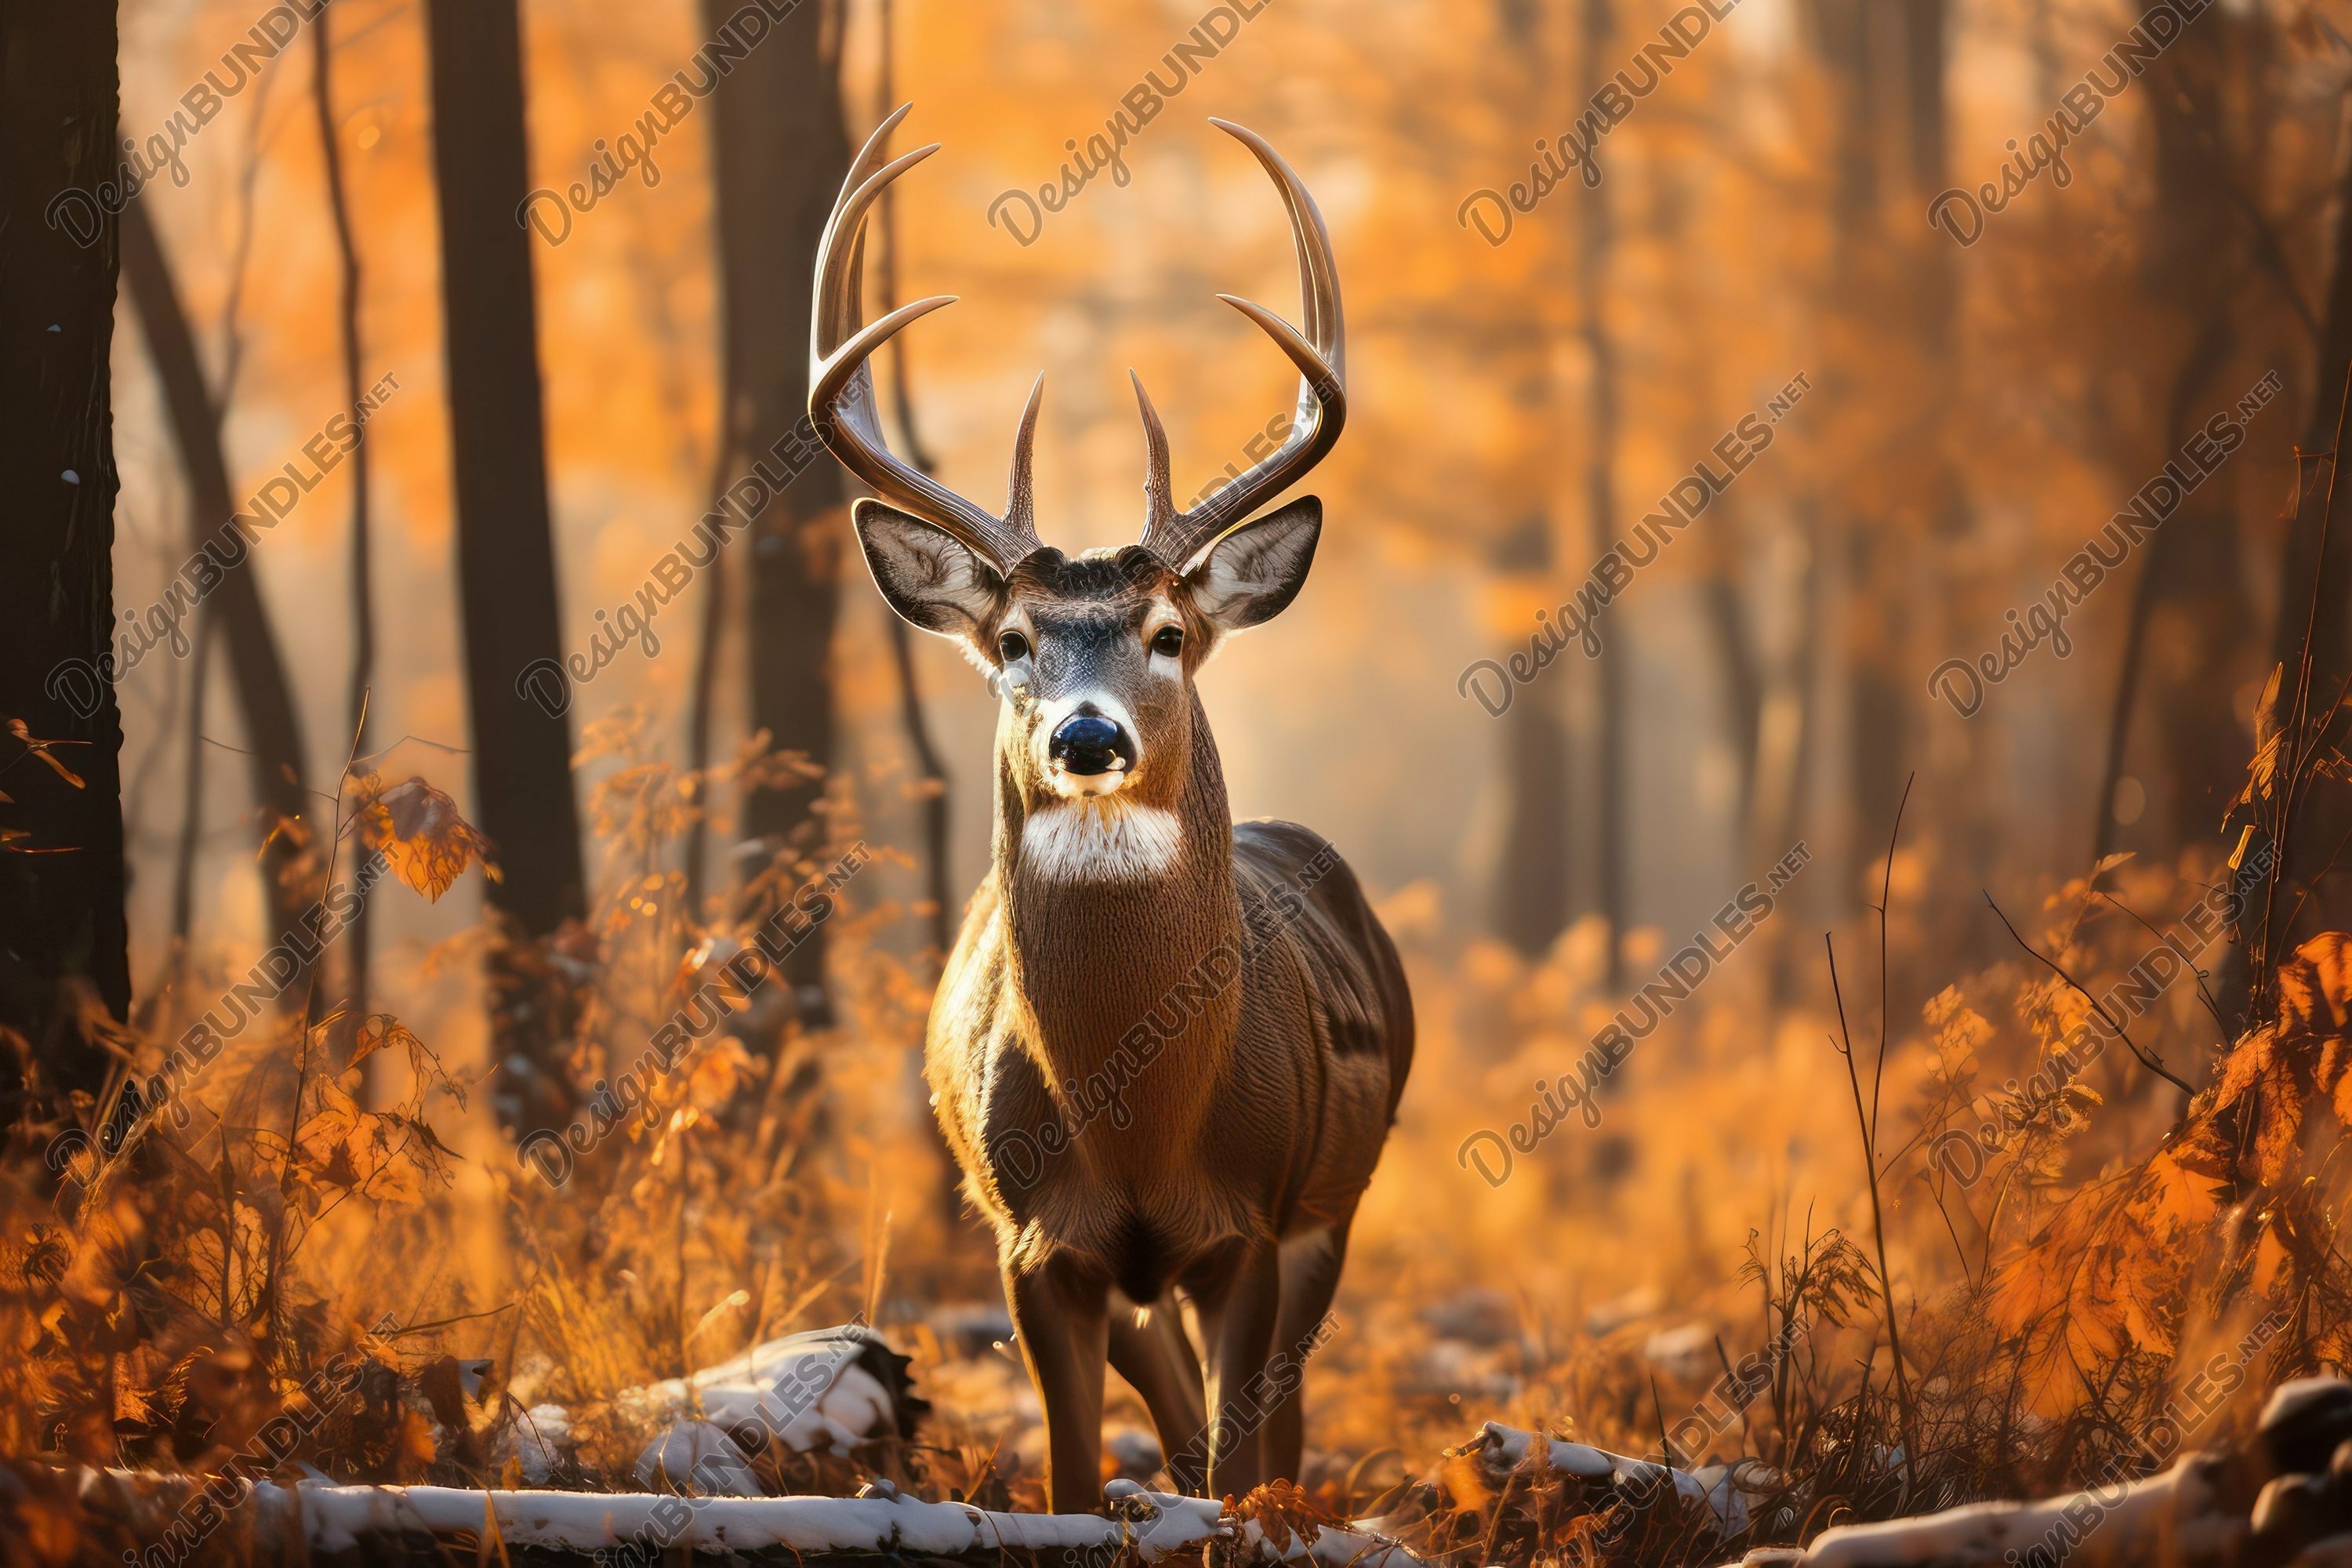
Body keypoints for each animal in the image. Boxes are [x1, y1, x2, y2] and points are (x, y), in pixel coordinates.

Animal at [808, 106, 1413, 1515]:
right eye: (1013, 639)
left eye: (1170, 633)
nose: (1088, 735)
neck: (1141, 1124)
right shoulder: (1034, 1246)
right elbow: (1078, 1475)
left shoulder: (1255, 1226)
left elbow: (1243, 1460)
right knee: (1182, 1413)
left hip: (1336, 1205)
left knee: (1272, 1424)